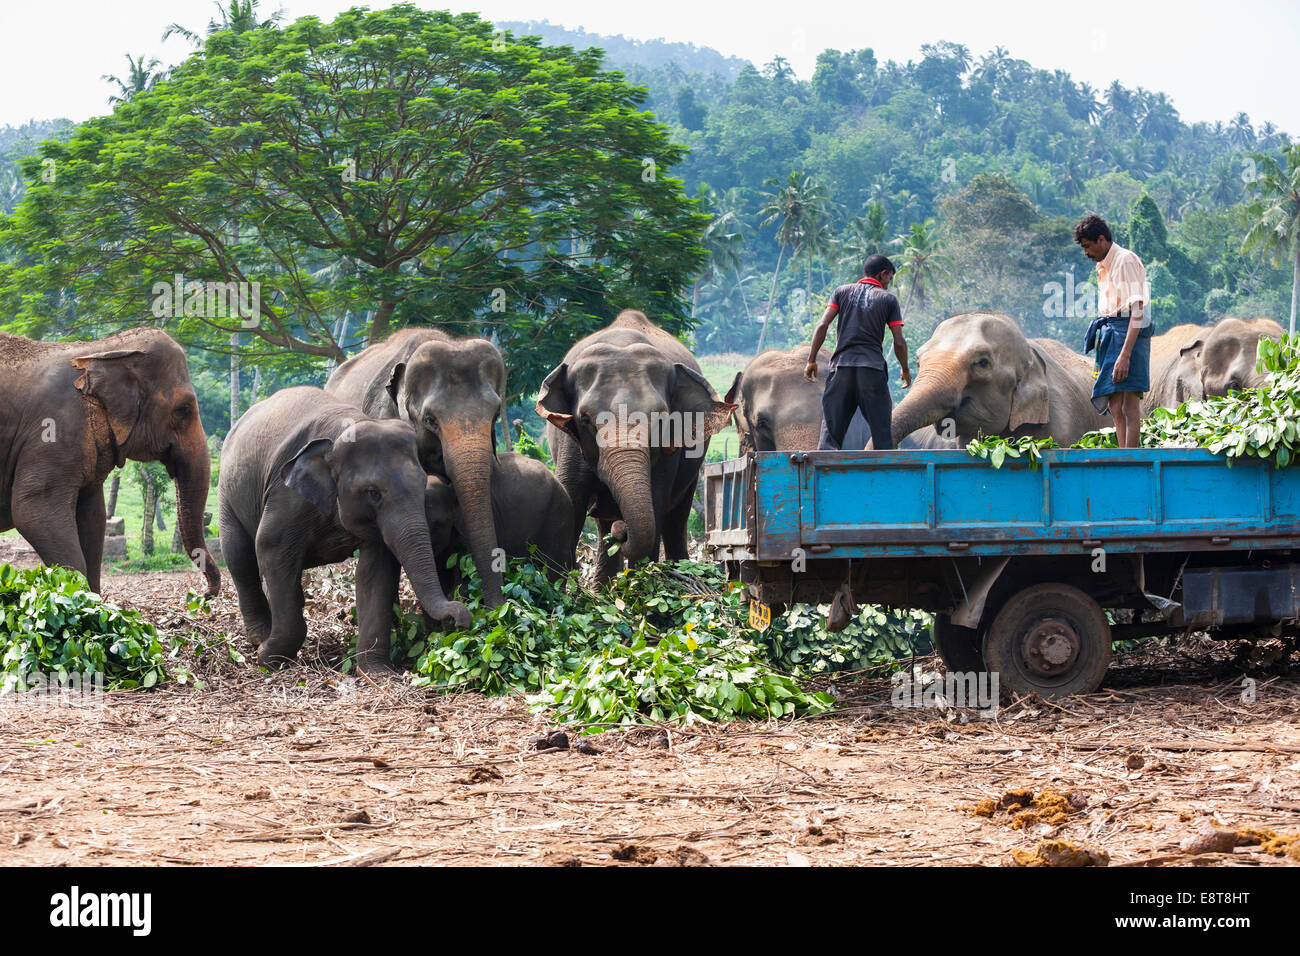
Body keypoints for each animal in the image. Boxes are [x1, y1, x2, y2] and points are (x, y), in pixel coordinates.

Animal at [0, 326, 219, 596]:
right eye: (183, 410)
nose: (205, 594)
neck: (104, 349)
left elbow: (93, 518)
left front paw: (92, 601)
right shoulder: (53, 431)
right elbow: (34, 512)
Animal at [218, 386, 470, 671]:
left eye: (421, 483)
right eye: (373, 493)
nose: (459, 618)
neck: (344, 429)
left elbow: (375, 571)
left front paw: (377, 672)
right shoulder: (286, 495)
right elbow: (272, 549)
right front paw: (267, 658)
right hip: (228, 492)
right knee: (240, 556)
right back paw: (258, 637)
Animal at [536, 309, 733, 582]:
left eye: (661, 418)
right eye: (585, 419)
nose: (622, 530)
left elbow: (656, 501)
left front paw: (638, 585)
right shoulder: (570, 442)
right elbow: (571, 499)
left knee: (676, 518)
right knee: (605, 526)